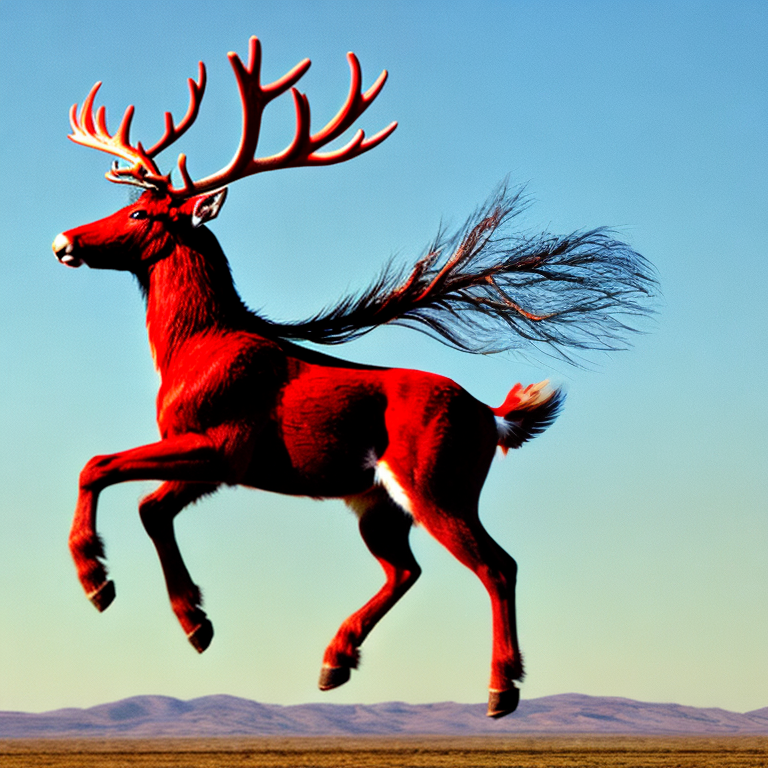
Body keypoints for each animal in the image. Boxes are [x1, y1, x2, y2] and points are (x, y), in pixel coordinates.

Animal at [52, 37, 656, 718]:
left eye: (138, 213)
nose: (64, 240)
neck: (196, 346)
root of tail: (492, 416)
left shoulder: (223, 440)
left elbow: (98, 466)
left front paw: (96, 580)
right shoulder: (217, 461)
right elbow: (152, 508)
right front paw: (196, 624)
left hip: (439, 483)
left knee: (498, 565)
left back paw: (501, 688)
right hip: (378, 500)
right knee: (406, 569)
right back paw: (335, 660)